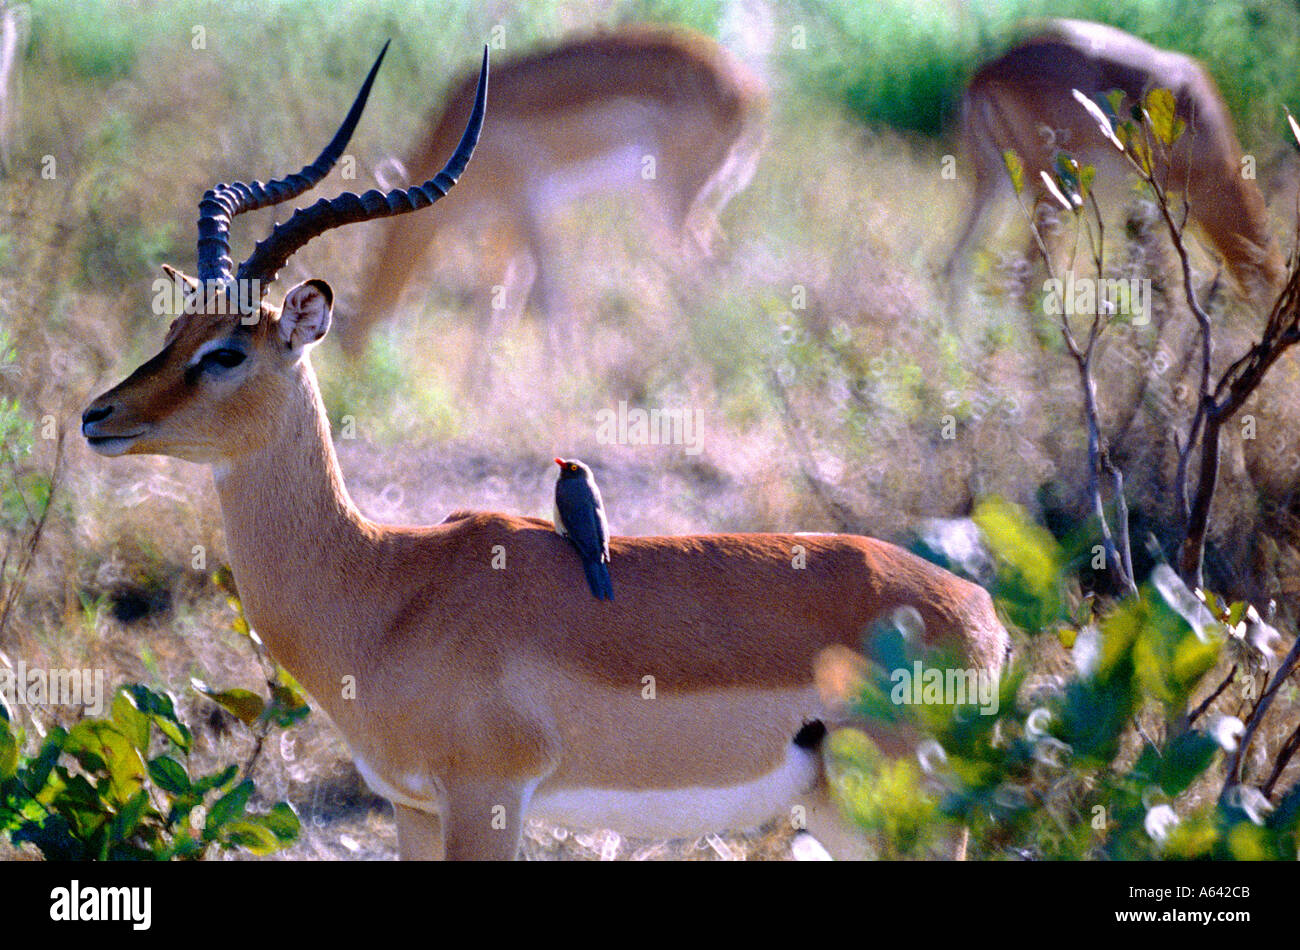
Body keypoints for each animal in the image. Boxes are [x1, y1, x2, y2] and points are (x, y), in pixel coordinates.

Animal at [344, 26, 768, 368]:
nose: (358, 377)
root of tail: (749, 90)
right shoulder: (506, 225)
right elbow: (496, 304)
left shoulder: (529, 207)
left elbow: (548, 299)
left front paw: (564, 380)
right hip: (685, 204)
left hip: (666, 204)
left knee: (703, 269)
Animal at [947, 18, 1286, 306]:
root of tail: (987, 72)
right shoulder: (1157, 206)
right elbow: (1169, 291)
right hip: (1055, 197)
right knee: (1025, 286)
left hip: (996, 187)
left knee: (954, 267)